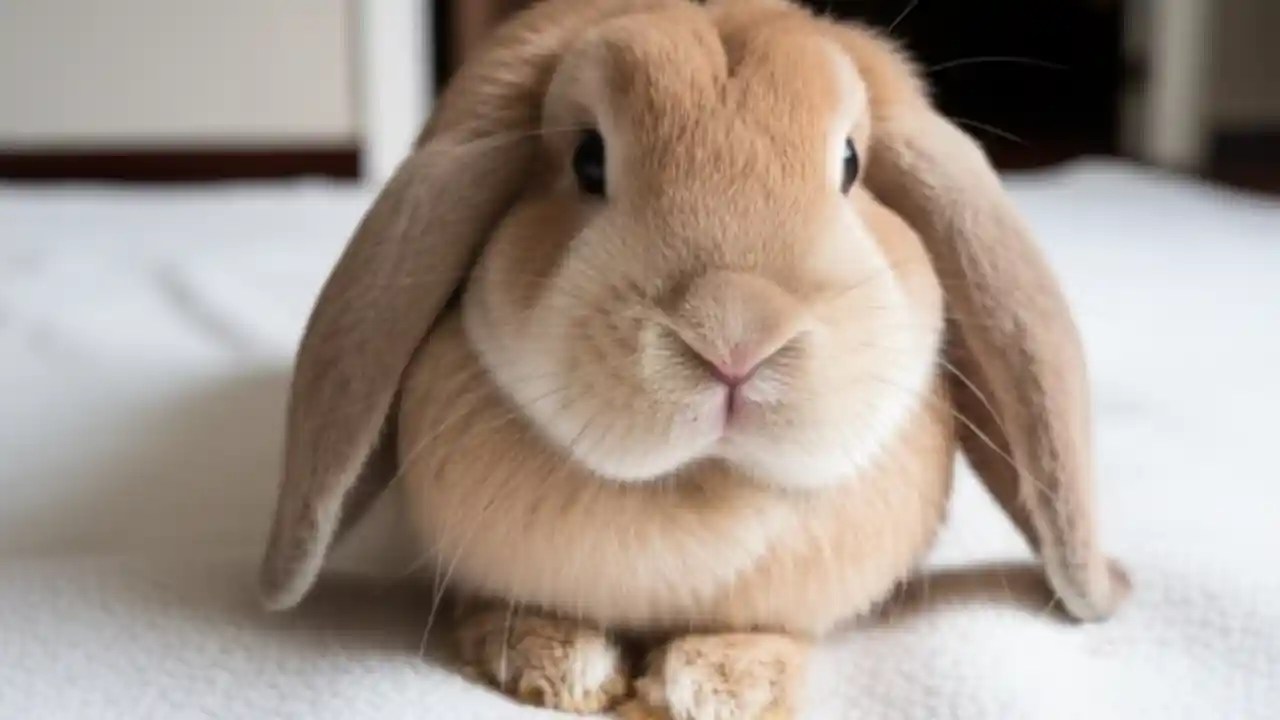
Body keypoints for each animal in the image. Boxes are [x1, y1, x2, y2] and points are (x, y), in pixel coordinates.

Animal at [259, 0, 1130, 717]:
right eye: (588, 160)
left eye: (850, 164)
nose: (734, 336)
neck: (702, 489)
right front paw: (554, 665)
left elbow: (767, 632)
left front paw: (718, 685)